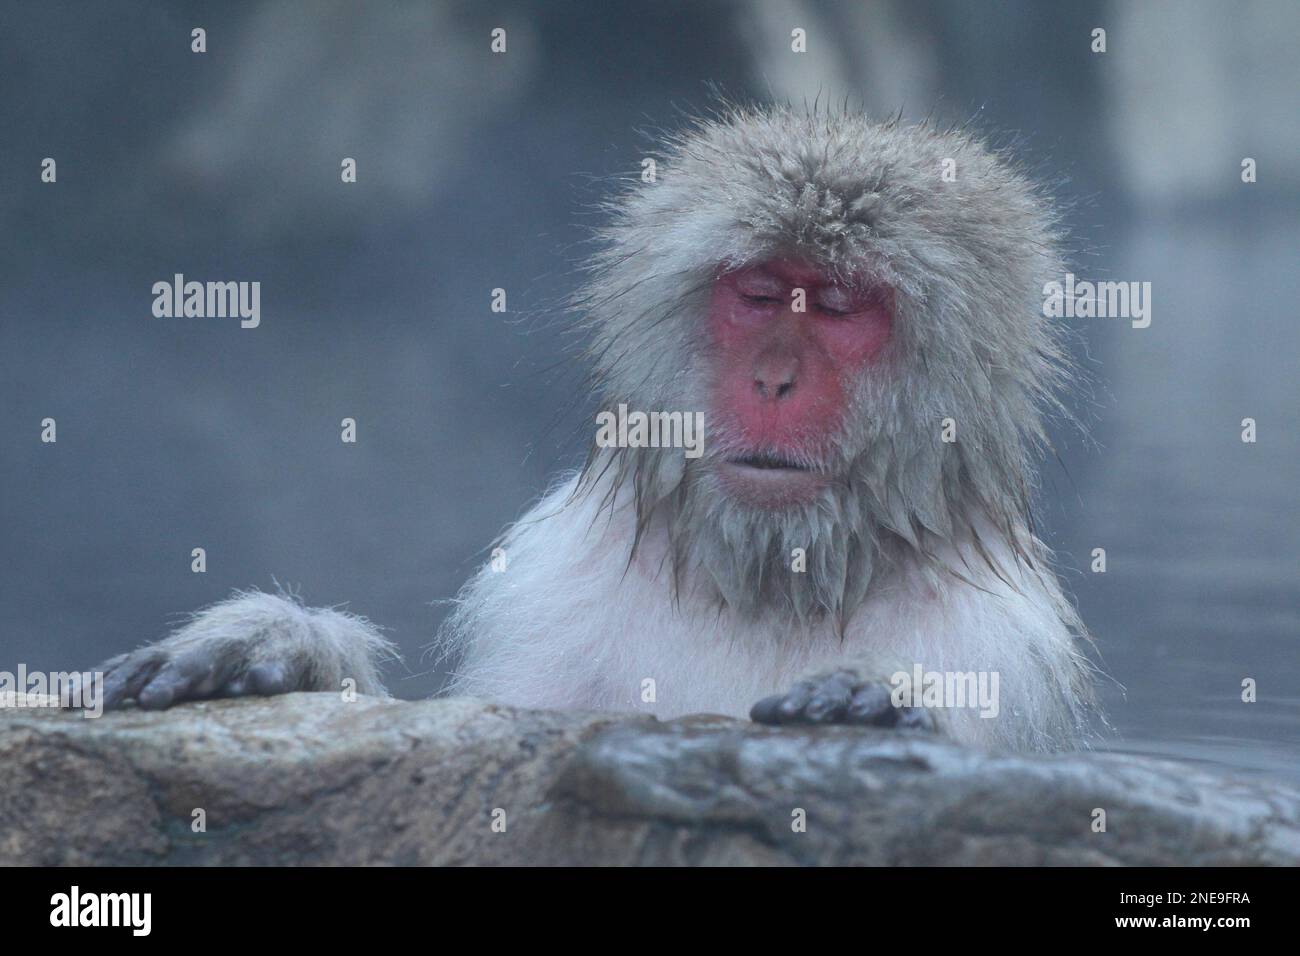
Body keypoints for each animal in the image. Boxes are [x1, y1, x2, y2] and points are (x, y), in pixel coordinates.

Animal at [81, 105, 1097, 752]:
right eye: (762, 293)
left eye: (841, 307)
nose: (773, 379)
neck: (776, 577)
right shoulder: (547, 583)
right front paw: (277, 647)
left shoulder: (1003, 642)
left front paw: (884, 697)